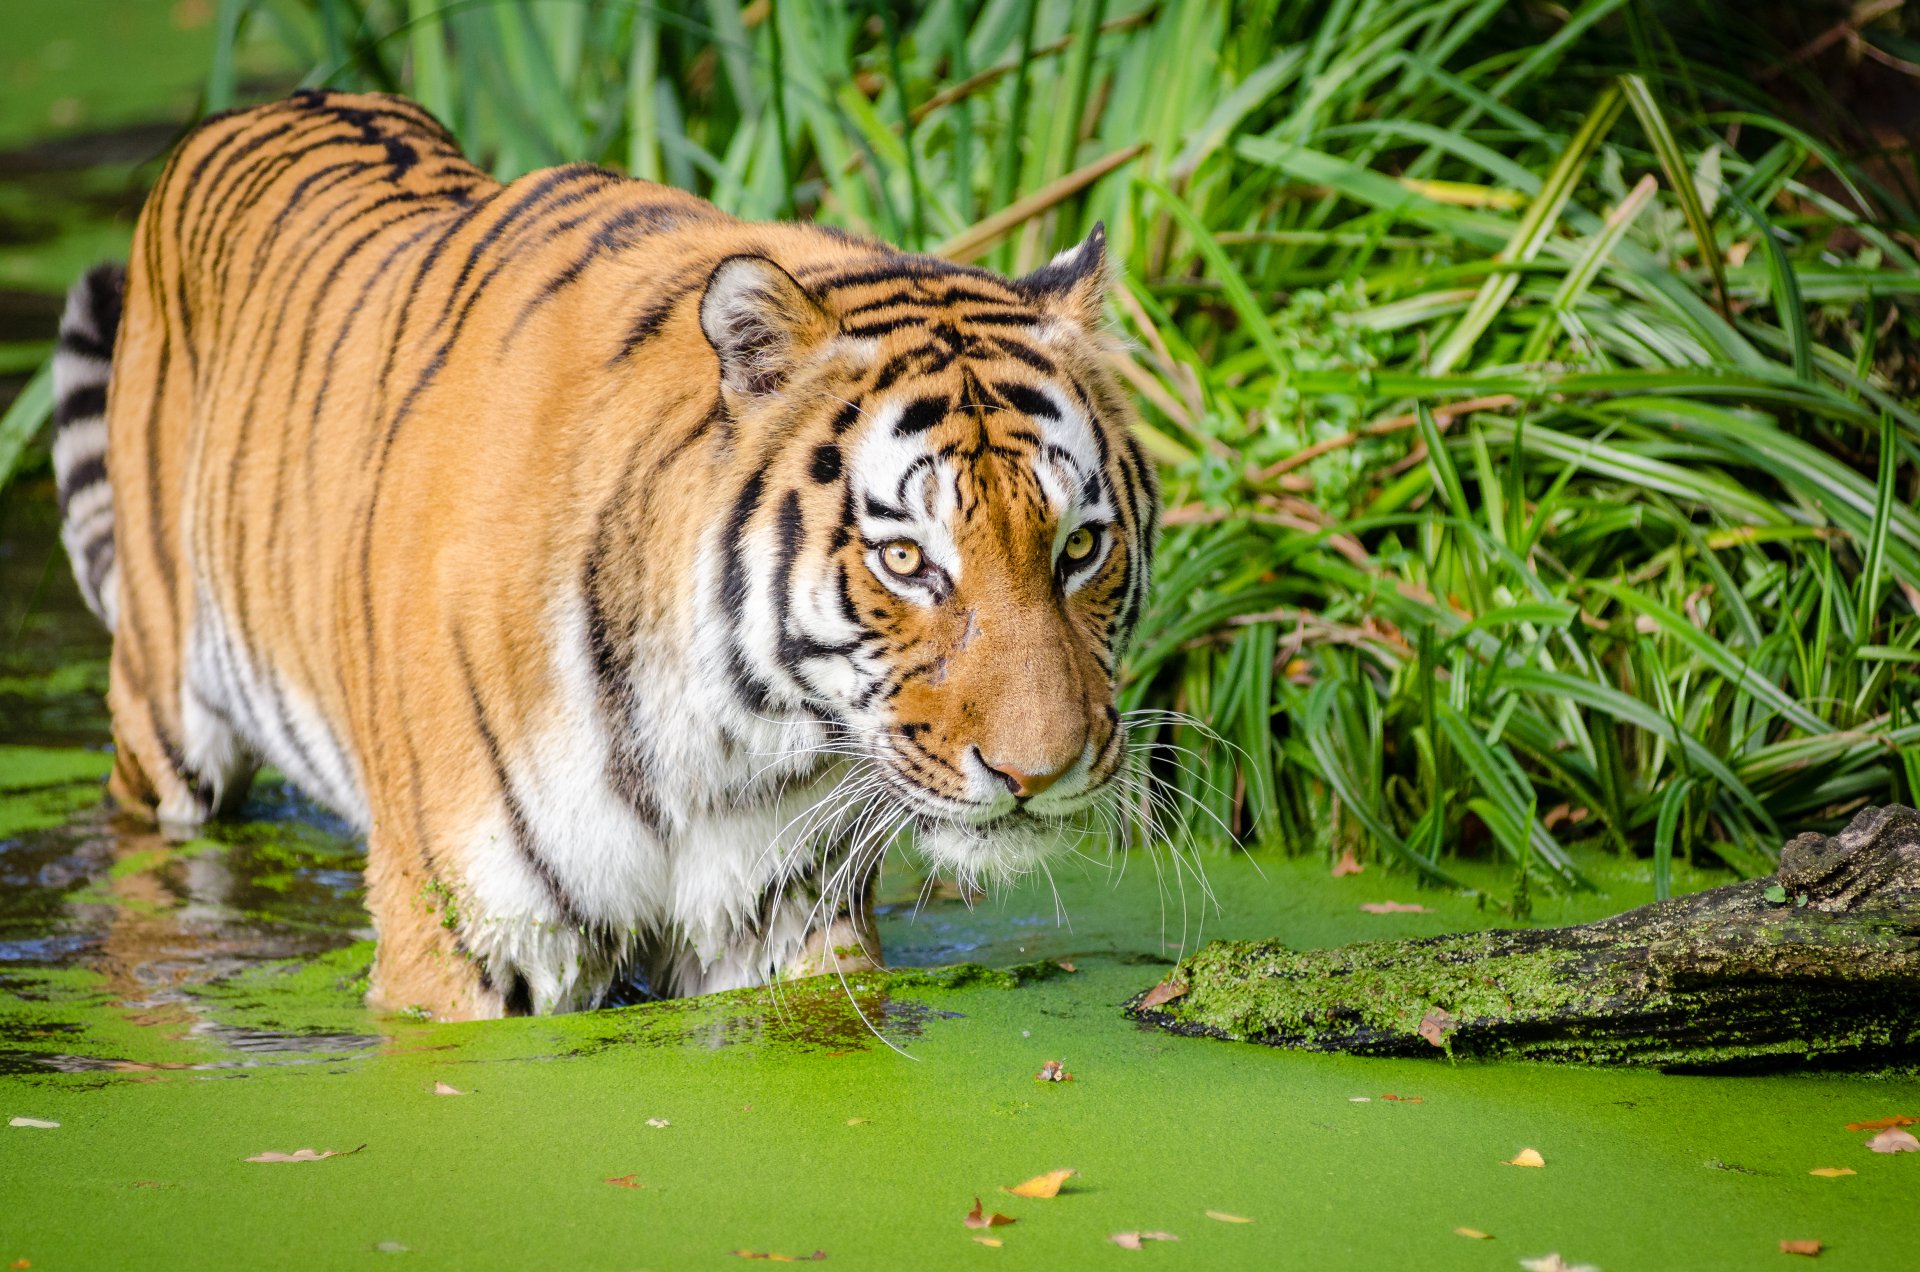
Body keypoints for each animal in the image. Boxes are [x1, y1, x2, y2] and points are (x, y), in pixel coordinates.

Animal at [49, 89, 1158, 1021]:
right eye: (904, 561)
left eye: (1080, 546)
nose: (1039, 773)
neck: (731, 743)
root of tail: (261, 106)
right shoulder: (461, 938)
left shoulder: (783, 924)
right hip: (163, 728)